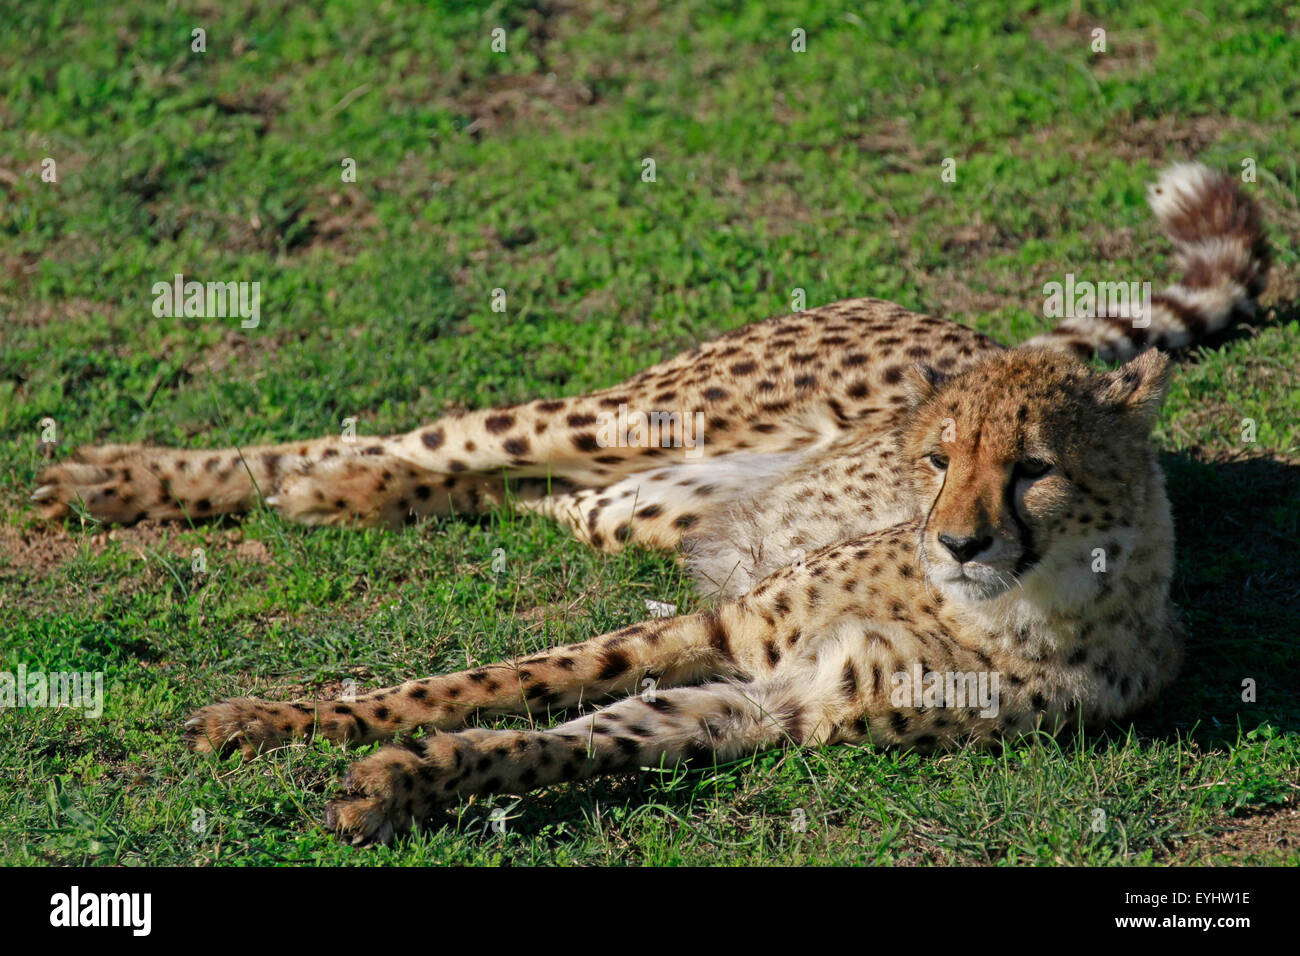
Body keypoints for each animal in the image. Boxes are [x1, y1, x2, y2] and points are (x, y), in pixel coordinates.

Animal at [31, 163, 1269, 845]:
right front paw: (281, 721)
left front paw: (412, 779)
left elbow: (574, 737)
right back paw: (130, 476)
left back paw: (335, 494)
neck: (1005, 604)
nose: (955, 539)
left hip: (628, 503)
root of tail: (966, 327)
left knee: (499, 489)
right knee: (430, 434)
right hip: (633, 415)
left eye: (1032, 468)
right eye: (935, 460)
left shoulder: (777, 699)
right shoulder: (722, 624)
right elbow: (480, 682)